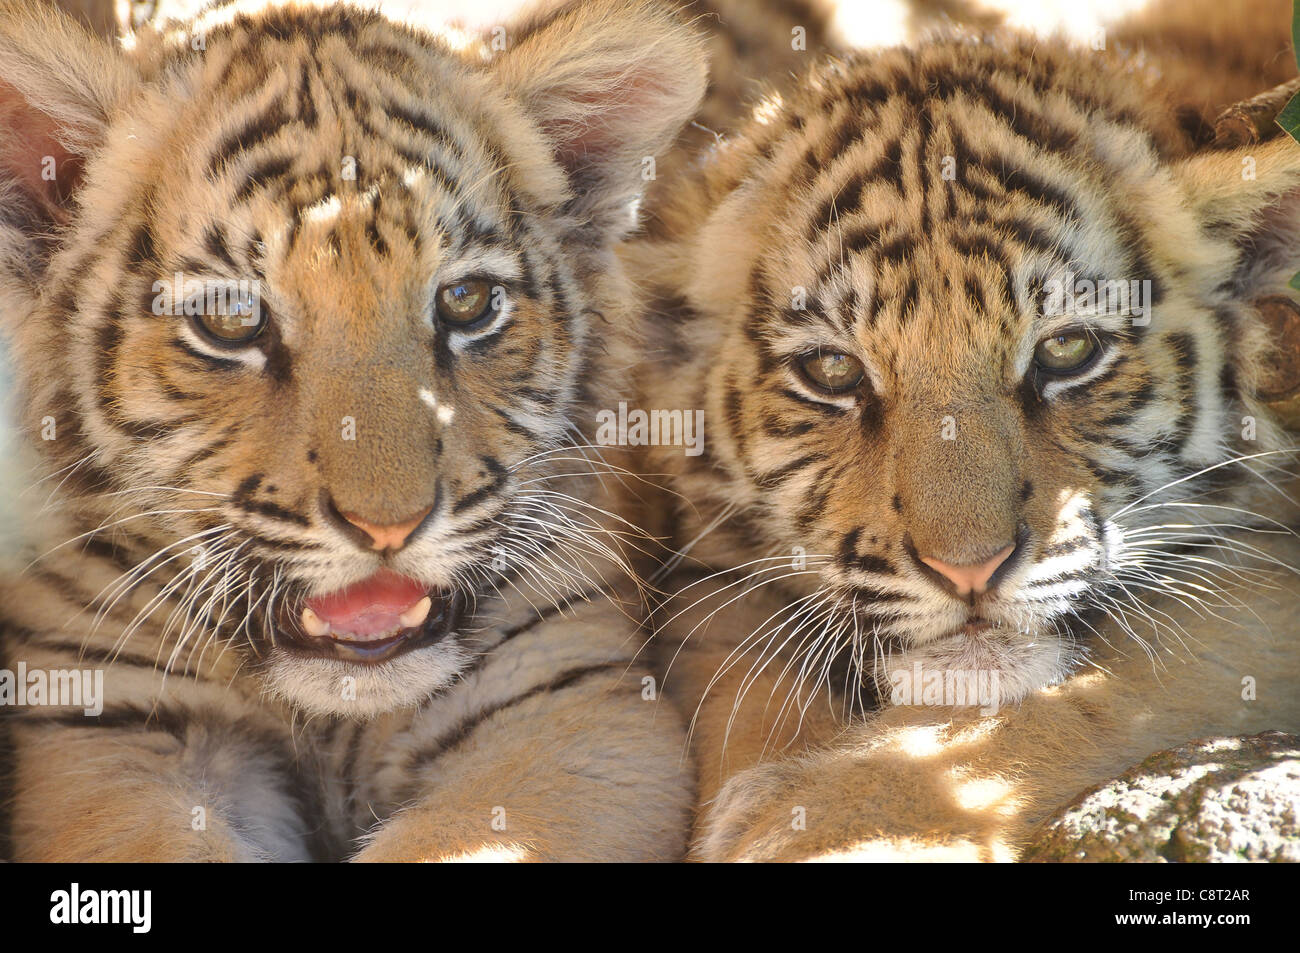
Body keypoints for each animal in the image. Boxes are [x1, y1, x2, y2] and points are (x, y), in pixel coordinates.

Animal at [626, 0, 1300, 860]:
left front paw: (830, 825)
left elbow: (1090, 693)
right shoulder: (709, 576)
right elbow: (740, 692)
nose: (969, 570)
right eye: (833, 371)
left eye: (1067, 350)